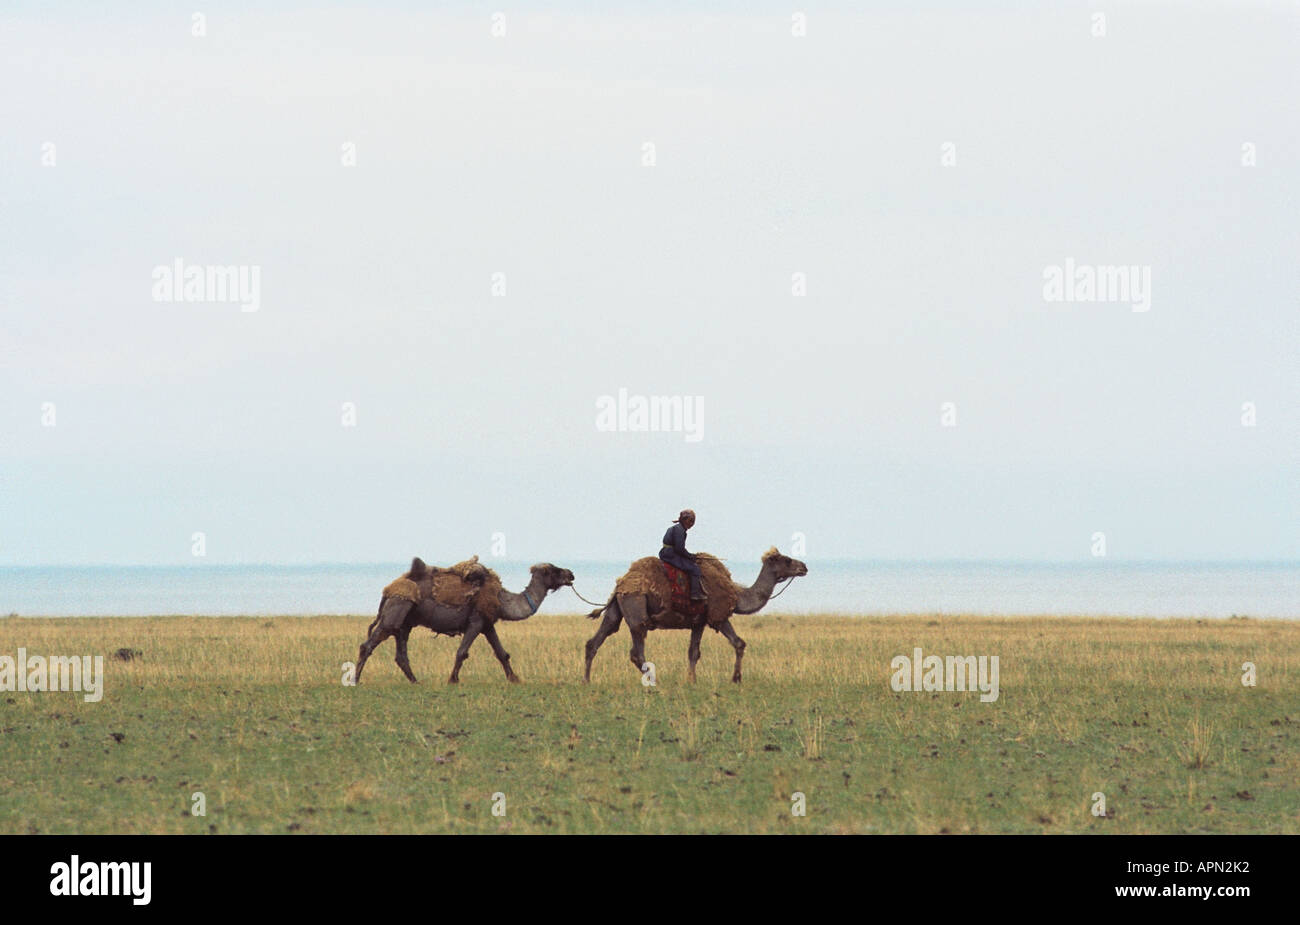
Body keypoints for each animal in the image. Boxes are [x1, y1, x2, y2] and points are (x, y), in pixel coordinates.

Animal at [355, 557, 574, 685]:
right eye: (554, 570)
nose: (571, 574)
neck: (502, 599)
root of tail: (388, 590)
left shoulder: (487, 624)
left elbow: (502, 653)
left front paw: (514, 679)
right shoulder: (476, 621)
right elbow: (462, 652)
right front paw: (453, 679)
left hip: (406, 620)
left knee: (400, 652)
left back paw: (415, 681)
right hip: (398, 607)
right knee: (371, 642)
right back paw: (355, 680)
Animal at [583, 547, 807, 683]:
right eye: (787, 560)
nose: (803, 567)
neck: (736, 595)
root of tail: (621, 584)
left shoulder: (698, 622)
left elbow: (693, 652)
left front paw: (692, 680)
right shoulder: (718, 615)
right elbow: (739, 643)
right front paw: (736, 679)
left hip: (617, 609)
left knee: (597, 639)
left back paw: (586, 680)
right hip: (636, 608)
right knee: (637, 650)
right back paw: (655, 681)